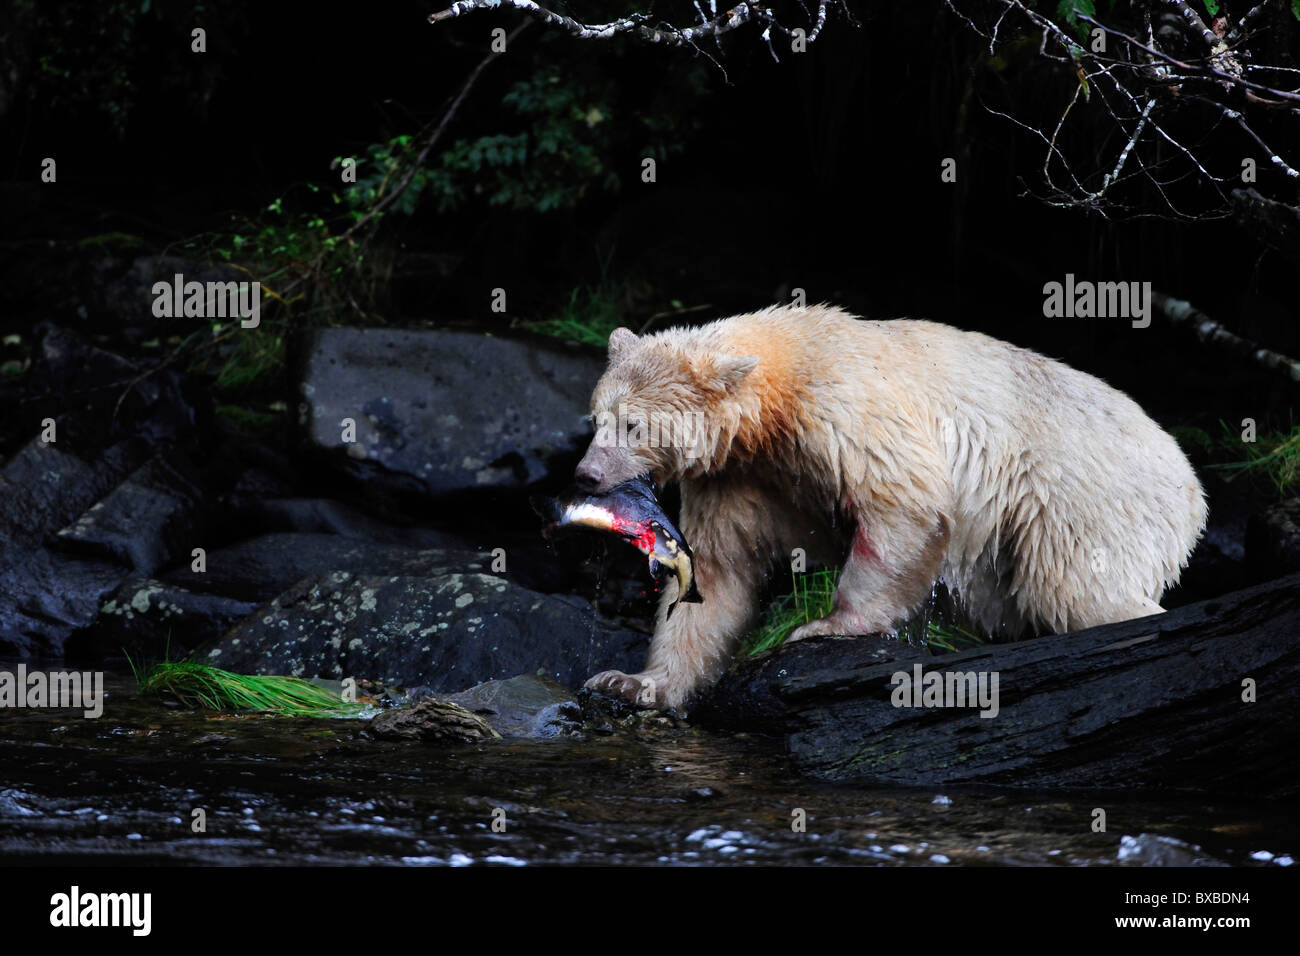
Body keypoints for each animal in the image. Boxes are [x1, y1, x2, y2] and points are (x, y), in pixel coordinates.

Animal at [575, 304, 1208, 712]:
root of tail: (1193, 490)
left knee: (1076, 586)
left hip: (1084, 495)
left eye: (633, 425)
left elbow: (903, 505)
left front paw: (821, 626)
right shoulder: (739, 473)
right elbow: (718, 570)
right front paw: (631, 683)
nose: (587, 474)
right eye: (596, 418)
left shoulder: (844, 407)